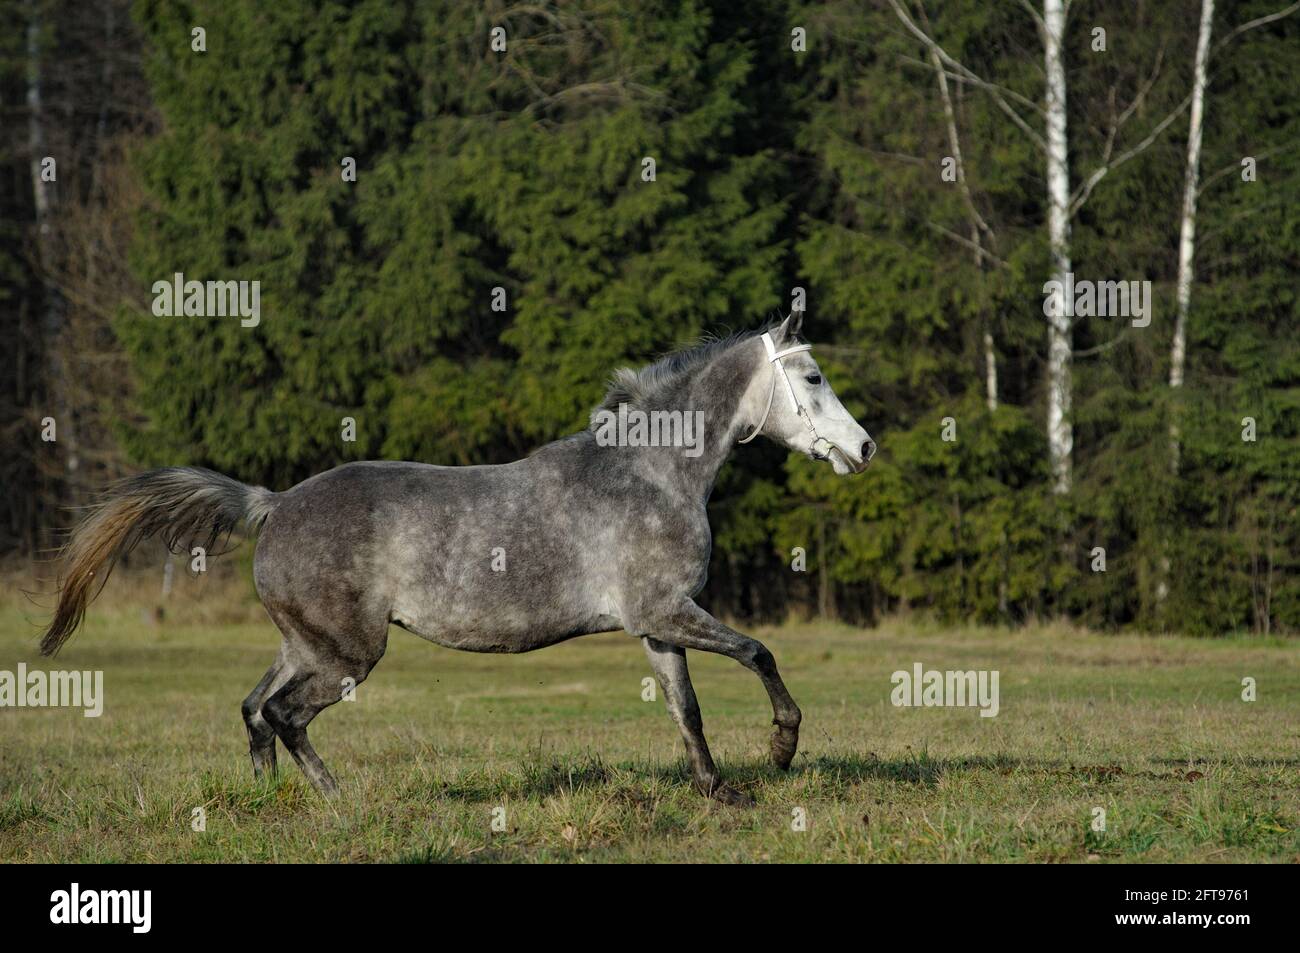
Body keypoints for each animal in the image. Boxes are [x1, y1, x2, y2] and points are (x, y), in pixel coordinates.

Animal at [40, 312, 875, 805]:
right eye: (812, 377)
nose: (864, 448)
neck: (652, 470)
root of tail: (272, 503)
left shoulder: (656, 623)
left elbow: (687, 707)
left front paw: (718, 789)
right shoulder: (671, 610)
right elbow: (759, 653)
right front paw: (781, 748)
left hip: (307, 644)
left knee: (253, 709)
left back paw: (271, 802)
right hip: (349, 653)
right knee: (282, 713)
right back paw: (338, 802)